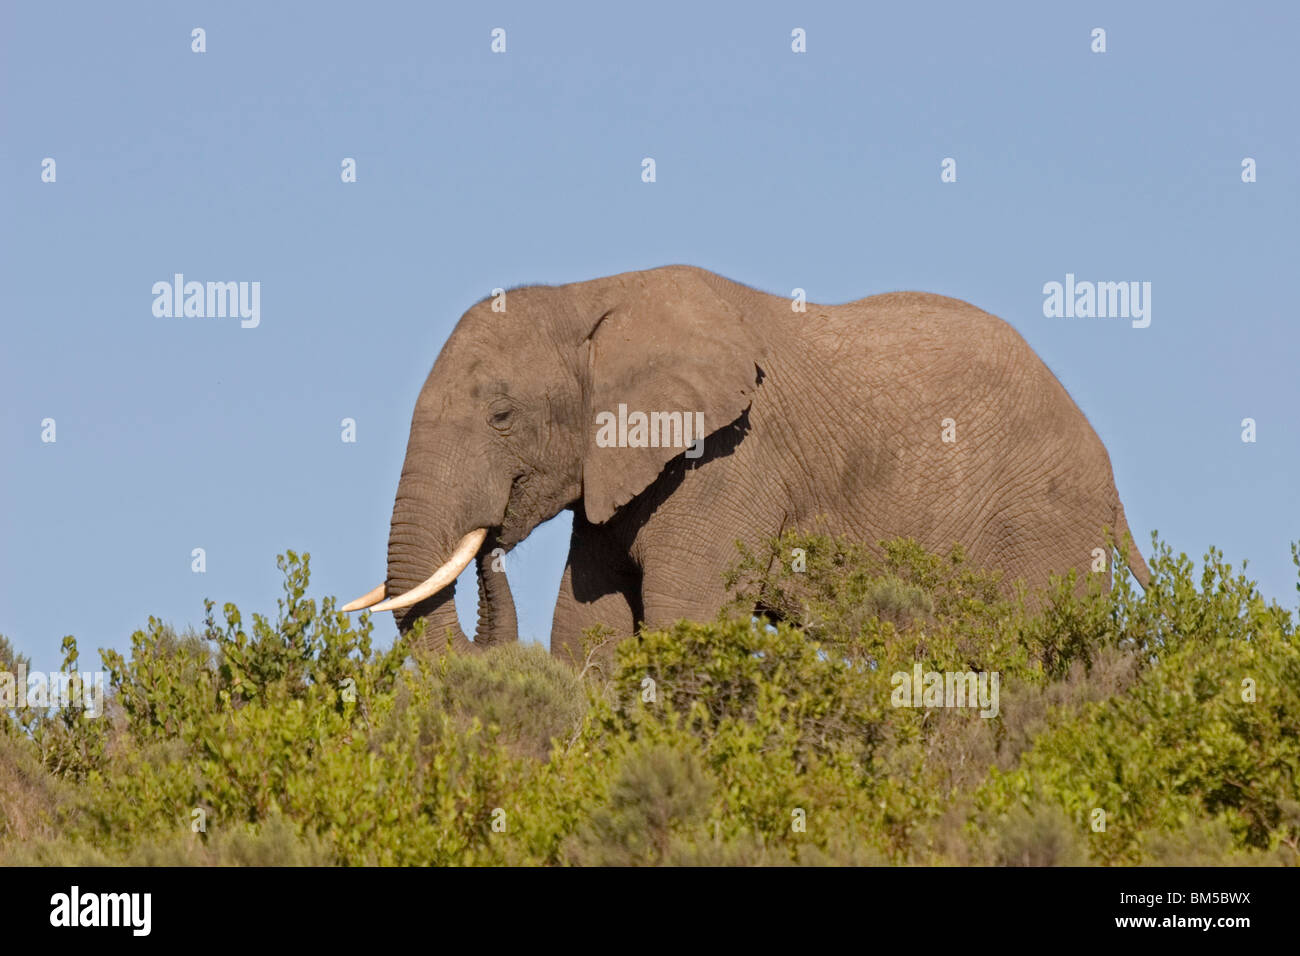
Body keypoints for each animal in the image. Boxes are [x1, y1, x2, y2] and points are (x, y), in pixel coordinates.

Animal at [342, 265, 1149, 663]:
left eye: (502, 416)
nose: (491, 544)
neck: (590, 299)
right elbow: (588, 625)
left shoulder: (729, 460)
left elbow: (683, 618)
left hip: (1046, 523)